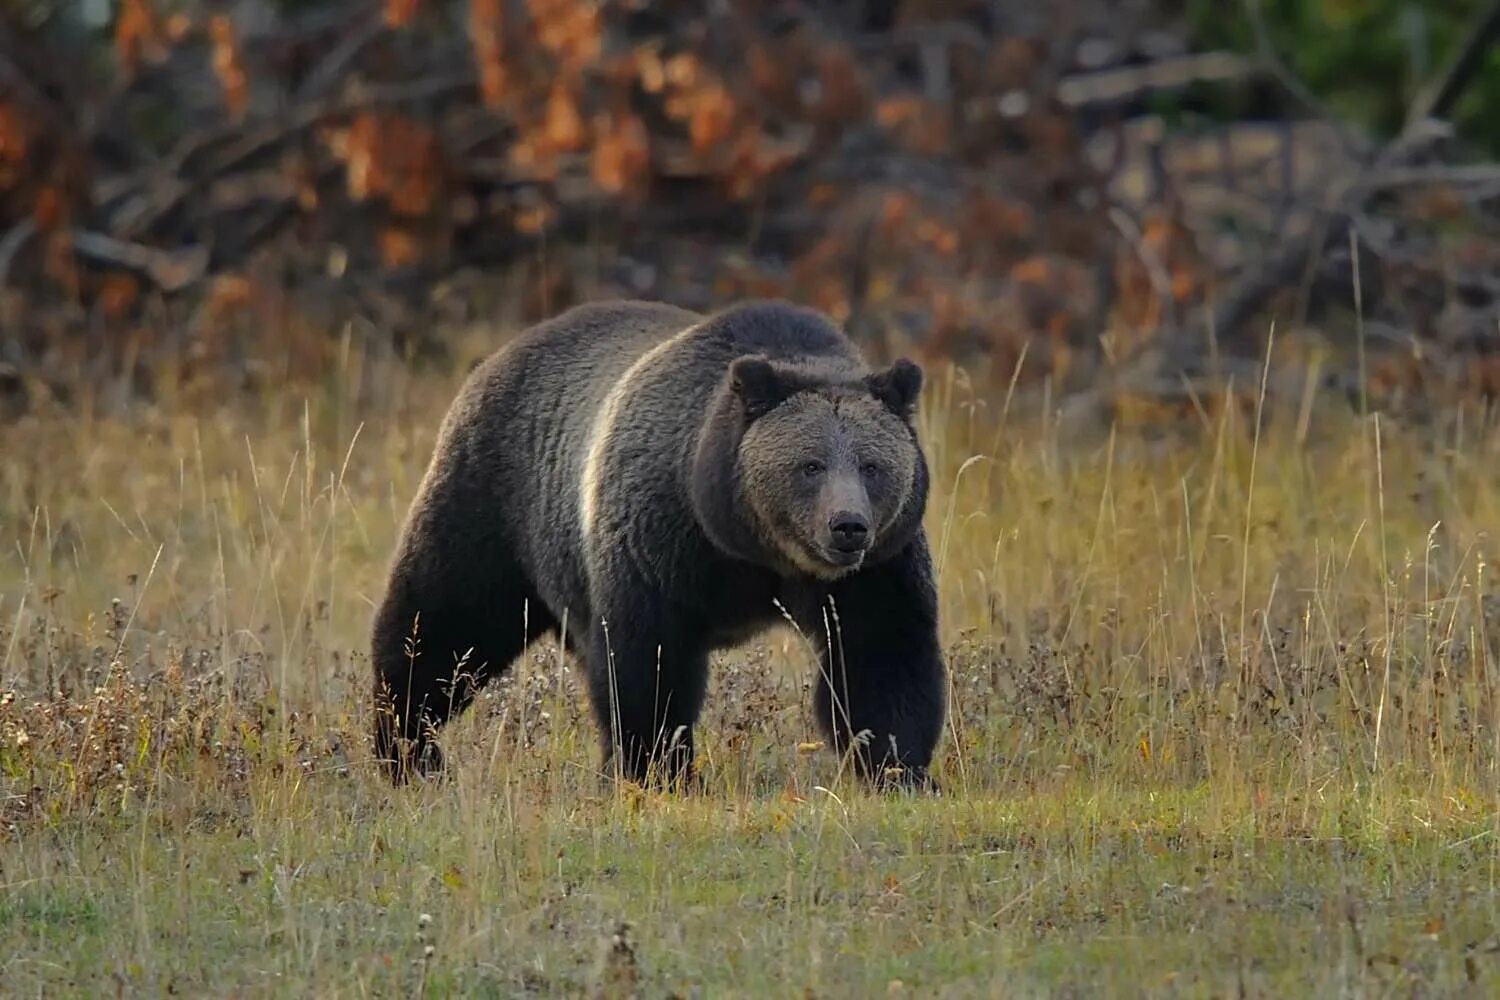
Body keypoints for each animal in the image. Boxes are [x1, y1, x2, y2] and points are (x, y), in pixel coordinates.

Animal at [369, 296, 942, 791]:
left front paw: (899, 768)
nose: (847, 526)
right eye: (810, 465)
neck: (751, 548)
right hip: (494, 503)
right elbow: (649, 662)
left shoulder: (877, 569)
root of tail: (497, 356)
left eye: (872, 465)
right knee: (442, 625)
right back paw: (407, 750)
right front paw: (658, 771)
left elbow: (880, 655)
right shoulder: (659, 540)